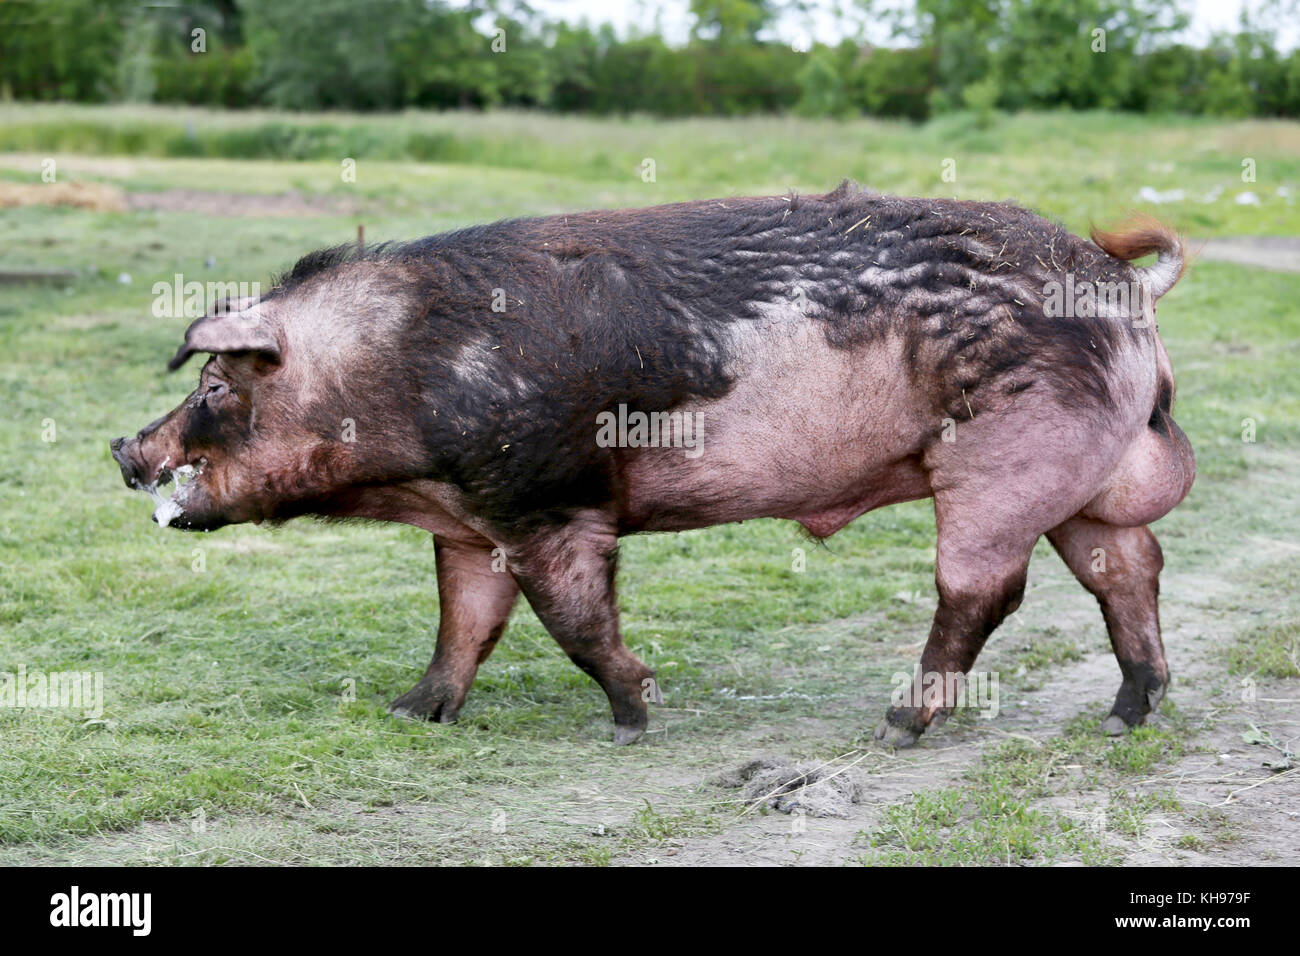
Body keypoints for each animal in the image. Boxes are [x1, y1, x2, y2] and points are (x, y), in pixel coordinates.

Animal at [110, 182, 1194, 747]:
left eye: (214, 386)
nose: (124, 447)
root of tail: (1118, 281)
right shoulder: (475, 518)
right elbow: (464, 619)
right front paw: (414, 713)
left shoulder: (550, 504)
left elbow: (575, 621)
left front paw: (637, 714)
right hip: (1081, 480)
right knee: (1128, 566)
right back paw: (1129, 715)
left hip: (999, 465)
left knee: (984, 592)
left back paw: (894, 726)